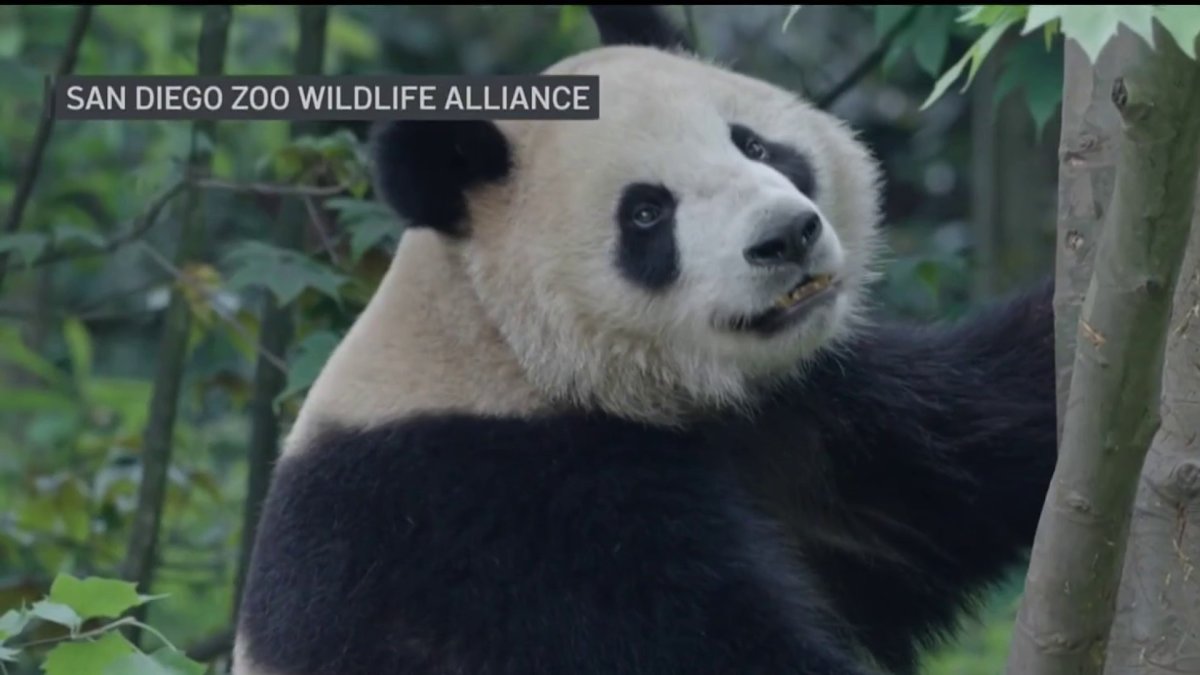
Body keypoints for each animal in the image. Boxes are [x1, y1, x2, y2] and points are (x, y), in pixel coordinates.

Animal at [232, 6, 1057, 675]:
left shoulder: (802, 408)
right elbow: (703, 647)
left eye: (755, 145)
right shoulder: (491, 511)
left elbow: (963, 458)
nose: (787, 236)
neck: (500, 344)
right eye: (647, 213)